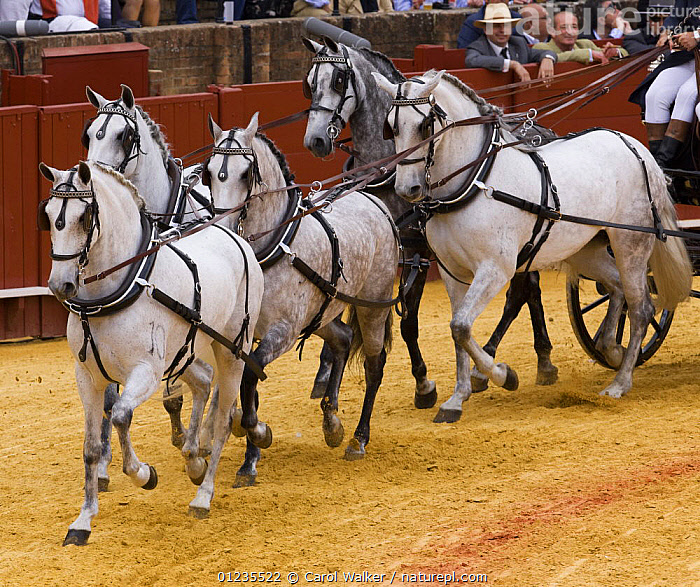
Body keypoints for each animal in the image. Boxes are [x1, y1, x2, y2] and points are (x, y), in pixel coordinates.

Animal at [38, 161, 263, 544]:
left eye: (85, 216)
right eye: (50, 215)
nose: (60, 284)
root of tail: (235, 239)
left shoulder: (146, 372)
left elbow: (120, 416)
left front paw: (143, 474)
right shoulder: (88, 378)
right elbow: (91, 447)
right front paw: (83, 521)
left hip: (232, 351)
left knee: (221, 419)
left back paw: (203, 494)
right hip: (185, 351)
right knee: (203, 384)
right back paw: (193, 460)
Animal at [204, 112, 399, 483]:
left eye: (246, 173)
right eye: (208, 173)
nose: (221, 225)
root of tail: (374, 201)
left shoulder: (283, 330)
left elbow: (250, 381)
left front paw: (258, 433)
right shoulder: (245, 334)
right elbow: (249, 389)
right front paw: (249, 460)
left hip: (373, 306)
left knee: (374, 364)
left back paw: (358, 438)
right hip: (320, 313)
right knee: (342, 339)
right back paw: (332, 421)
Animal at [300, 38, 558, 422]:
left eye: (338, 80)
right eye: (308, 84)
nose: (315, 141)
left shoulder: (417, 256)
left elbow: (408, 324)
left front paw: (424, 385)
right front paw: (325, 370)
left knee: (522, 293)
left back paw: (515, 362)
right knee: (526, 291)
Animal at [372, 69, 692, 413]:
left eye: (425, 125)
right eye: (391, 126)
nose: (407, 189)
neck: (474, 182)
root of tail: (634, 146)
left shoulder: (495, 269)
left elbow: (461, 326)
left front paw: (502, 375)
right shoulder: (451, 272)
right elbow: (458, 329)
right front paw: (457, 397)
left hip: (630, 243)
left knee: (641, 307)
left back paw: (620, 382)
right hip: (585, 250)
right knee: (617, 289)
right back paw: (610, 348)